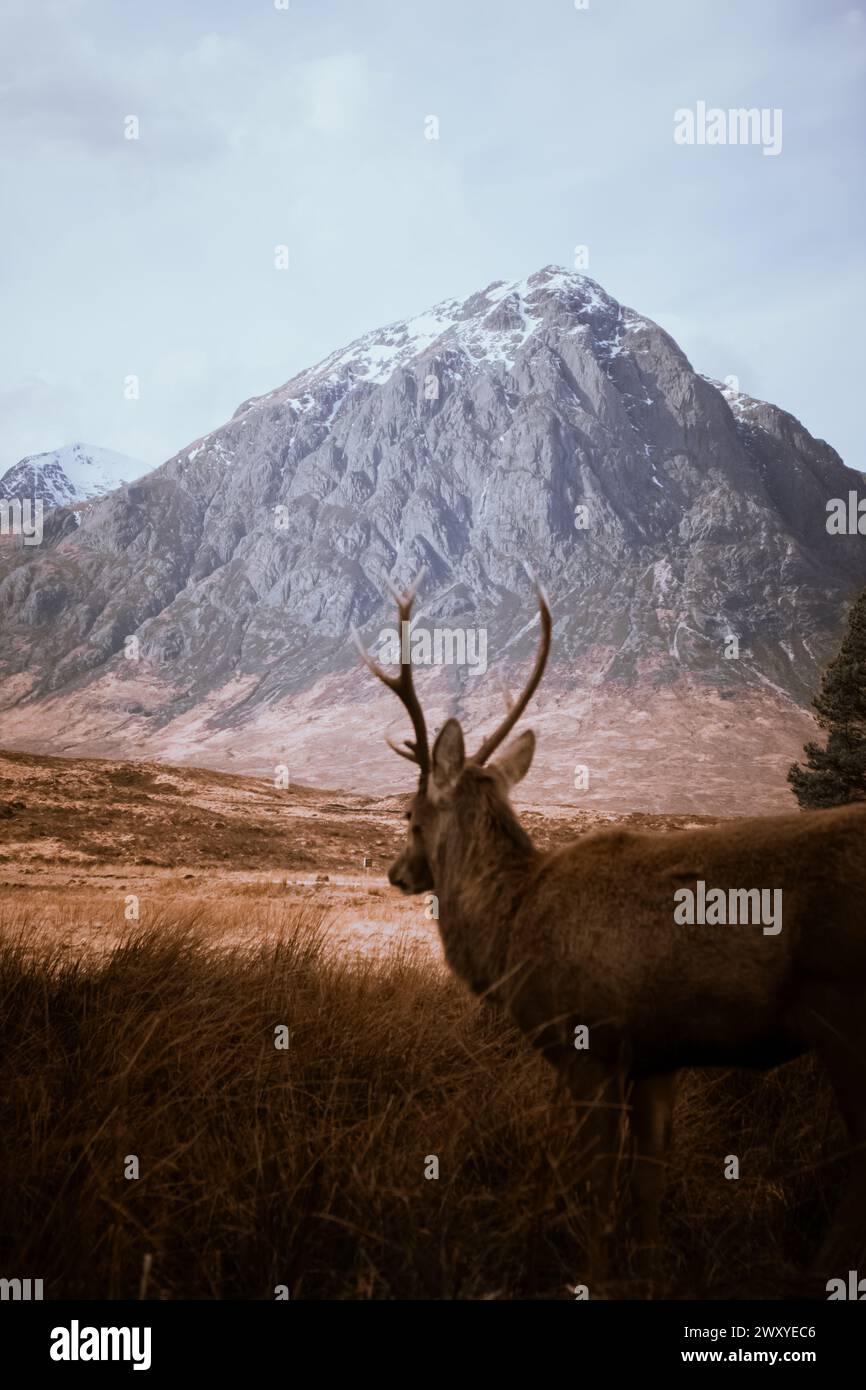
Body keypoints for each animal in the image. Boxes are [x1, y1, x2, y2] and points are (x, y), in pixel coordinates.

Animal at [354, 576, 866, 1286]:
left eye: (409, 814)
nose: (398, 873)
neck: (510, 930)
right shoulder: (656, 1056)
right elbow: (647, 1192)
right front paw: (647, 1276)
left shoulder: (588, 1040)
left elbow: (594, 1192)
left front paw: (588, 1277)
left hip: (843, 1008)